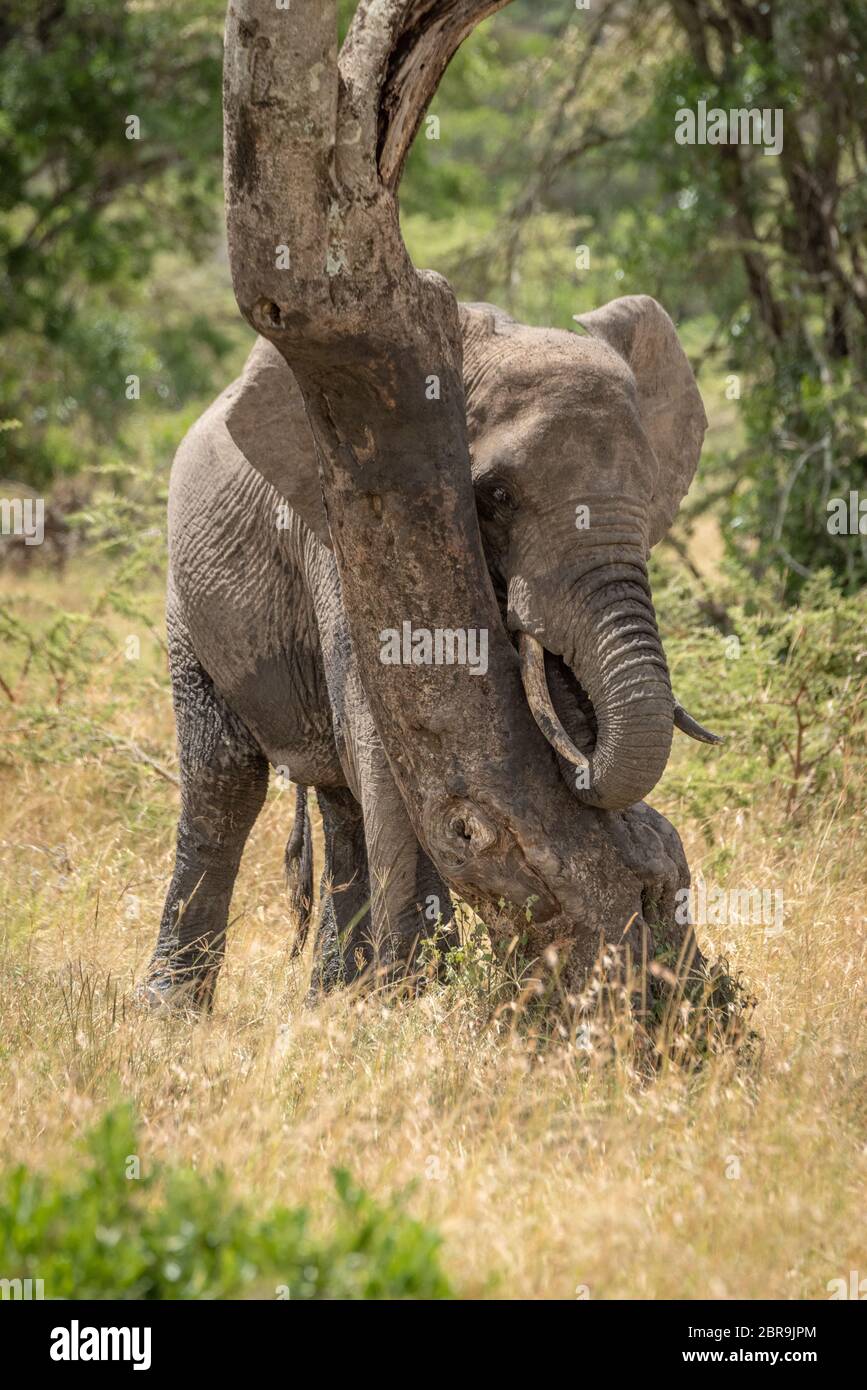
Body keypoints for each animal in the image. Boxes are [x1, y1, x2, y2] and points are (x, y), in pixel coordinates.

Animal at [147, 294, 718, 1009]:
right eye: (496, 497)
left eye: (650, 496)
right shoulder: (346, 526)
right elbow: (386, 731)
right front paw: (418, 1005)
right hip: (188, 595)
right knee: (224, 783)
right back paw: (173, 1012)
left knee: (342, 802)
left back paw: (329, 1001)